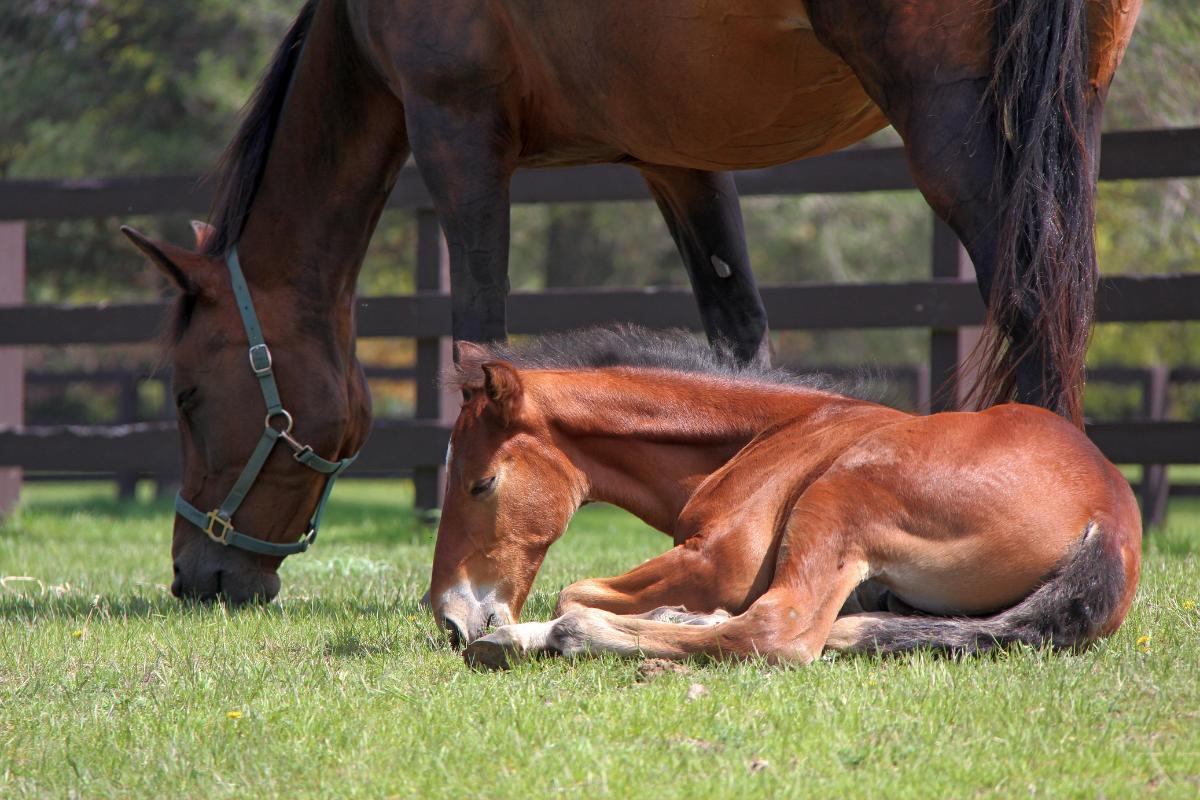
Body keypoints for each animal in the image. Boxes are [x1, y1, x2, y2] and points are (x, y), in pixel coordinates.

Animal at [122, 0, 1140, 603]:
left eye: (187, 397)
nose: (196, 575)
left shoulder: (455, 125)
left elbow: (479, 336)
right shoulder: (677, 155)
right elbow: (737, 334)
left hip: (951, 112)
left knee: (1031, 296)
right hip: (1067, 108)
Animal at [424, 327, 1141, 666]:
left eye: (482, 482)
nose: (453, 619)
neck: (771, 432)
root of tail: (1109, 516)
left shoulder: (720, 562)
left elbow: (573, 591)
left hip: (839, 497)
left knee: (782, 631)